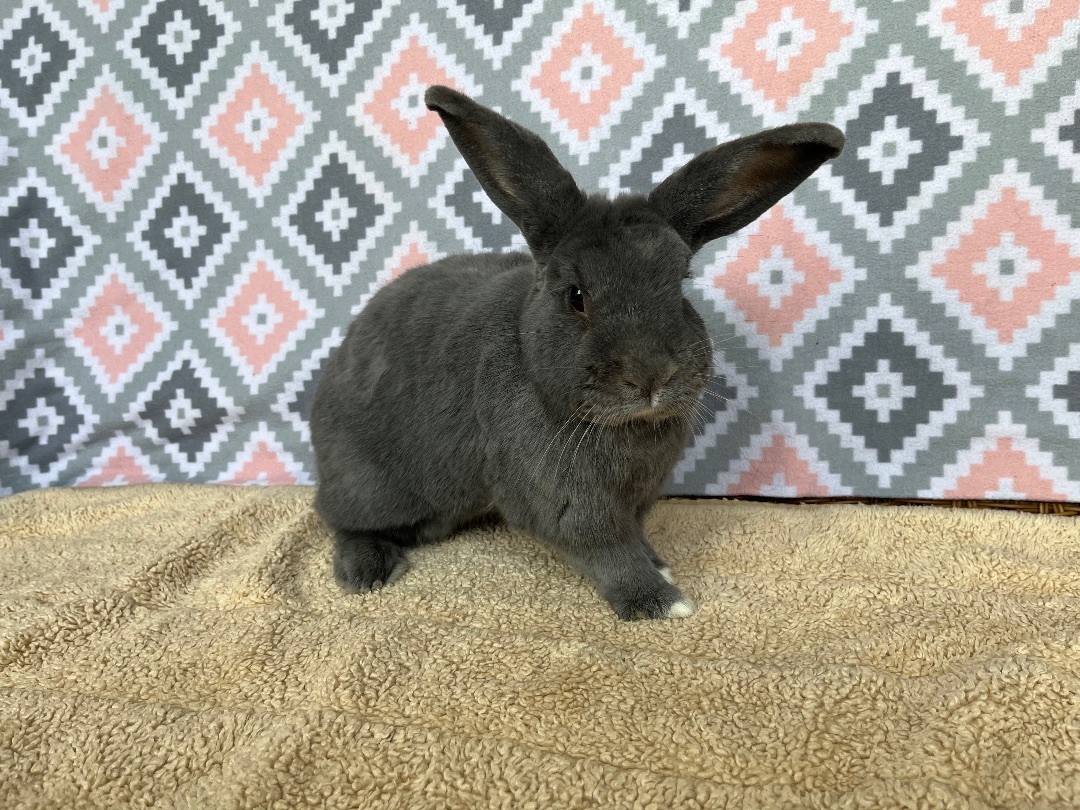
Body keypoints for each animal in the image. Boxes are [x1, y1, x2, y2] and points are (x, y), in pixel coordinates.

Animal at [310, 85, 843, 620]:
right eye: (576, 296)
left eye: (679, 287)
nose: (651, 377)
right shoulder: (571, 503)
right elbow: (608, 551)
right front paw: (661, 603)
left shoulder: (638, 499)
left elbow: (636, 538)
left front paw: (660, 565)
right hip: (371, 486)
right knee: (340, 521)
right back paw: (369, 571)